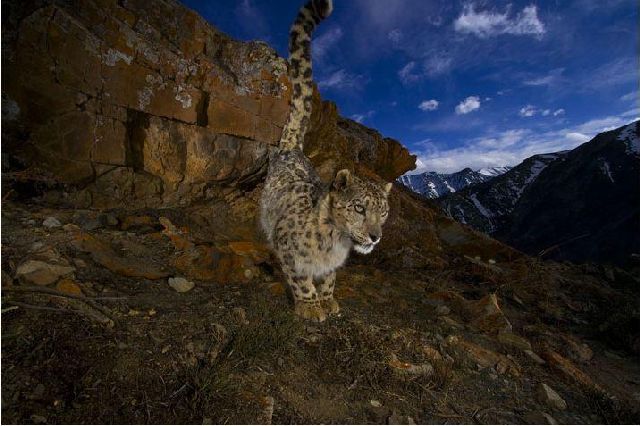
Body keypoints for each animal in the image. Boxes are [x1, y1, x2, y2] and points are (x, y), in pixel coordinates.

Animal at [260, 0, 392, 322]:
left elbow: (328, 276)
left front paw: (328, 300)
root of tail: (292, 150)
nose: (375, 237)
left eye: (383, 212)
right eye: (359, 208)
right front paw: (310, 306)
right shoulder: (288, 249)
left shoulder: (332, 264)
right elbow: (300, 278)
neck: (336, 243)